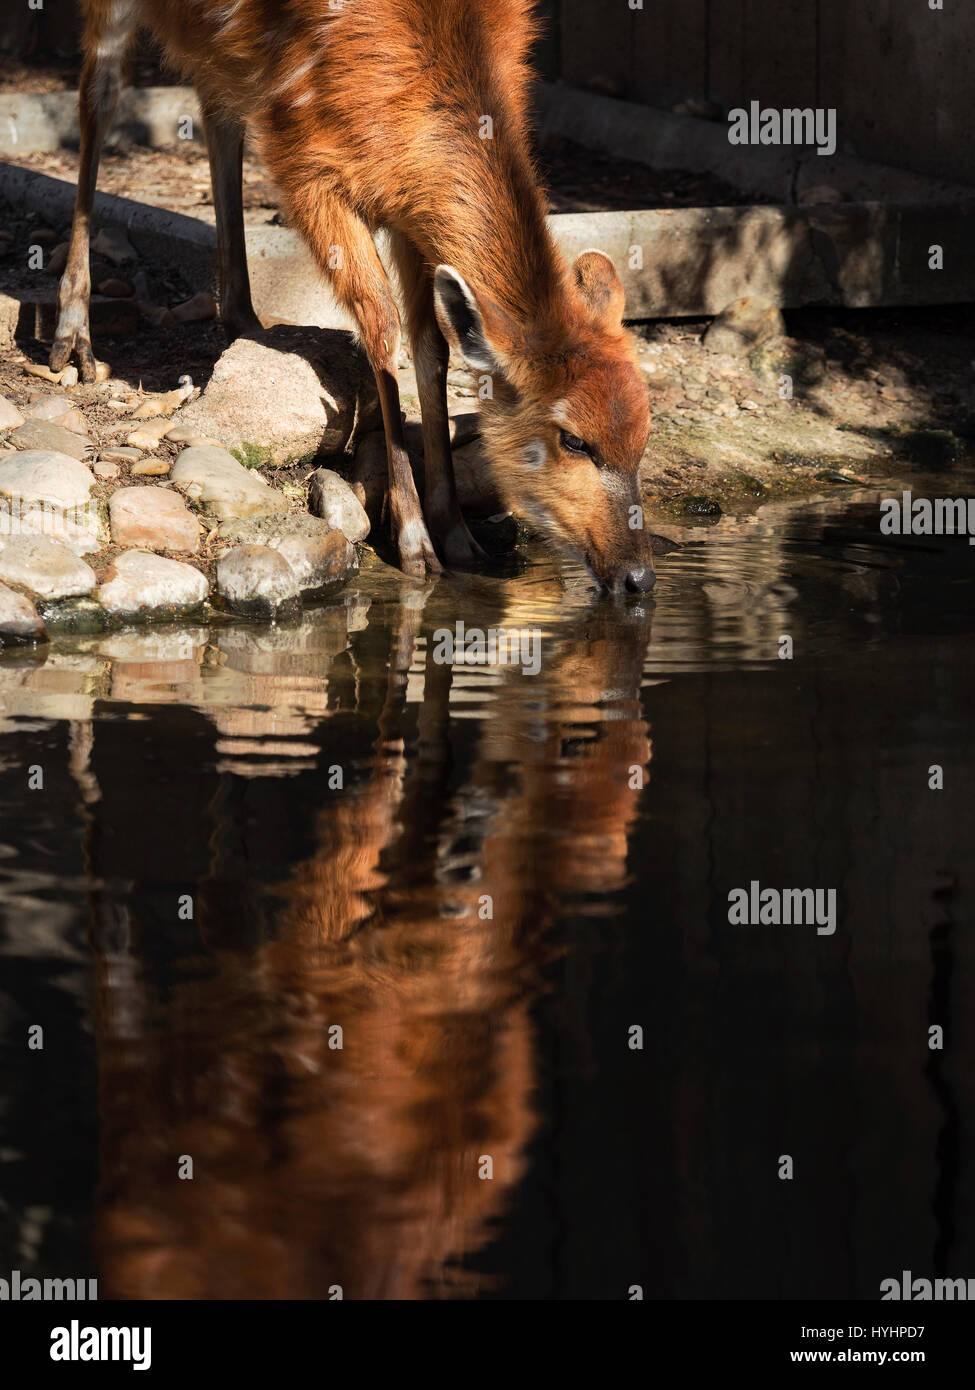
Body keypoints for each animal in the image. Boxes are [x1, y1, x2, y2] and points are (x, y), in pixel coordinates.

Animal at [56, 1, 655, 591]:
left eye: (644, 434)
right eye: (573, 439)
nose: (640, 576)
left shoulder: (411, 207)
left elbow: (432, 345)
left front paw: (458, 536)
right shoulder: (304, 159)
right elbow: (382, 325)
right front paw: (415, 544)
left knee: (213, 103)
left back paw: (245, 320)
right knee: (98, 96)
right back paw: (74, 339)